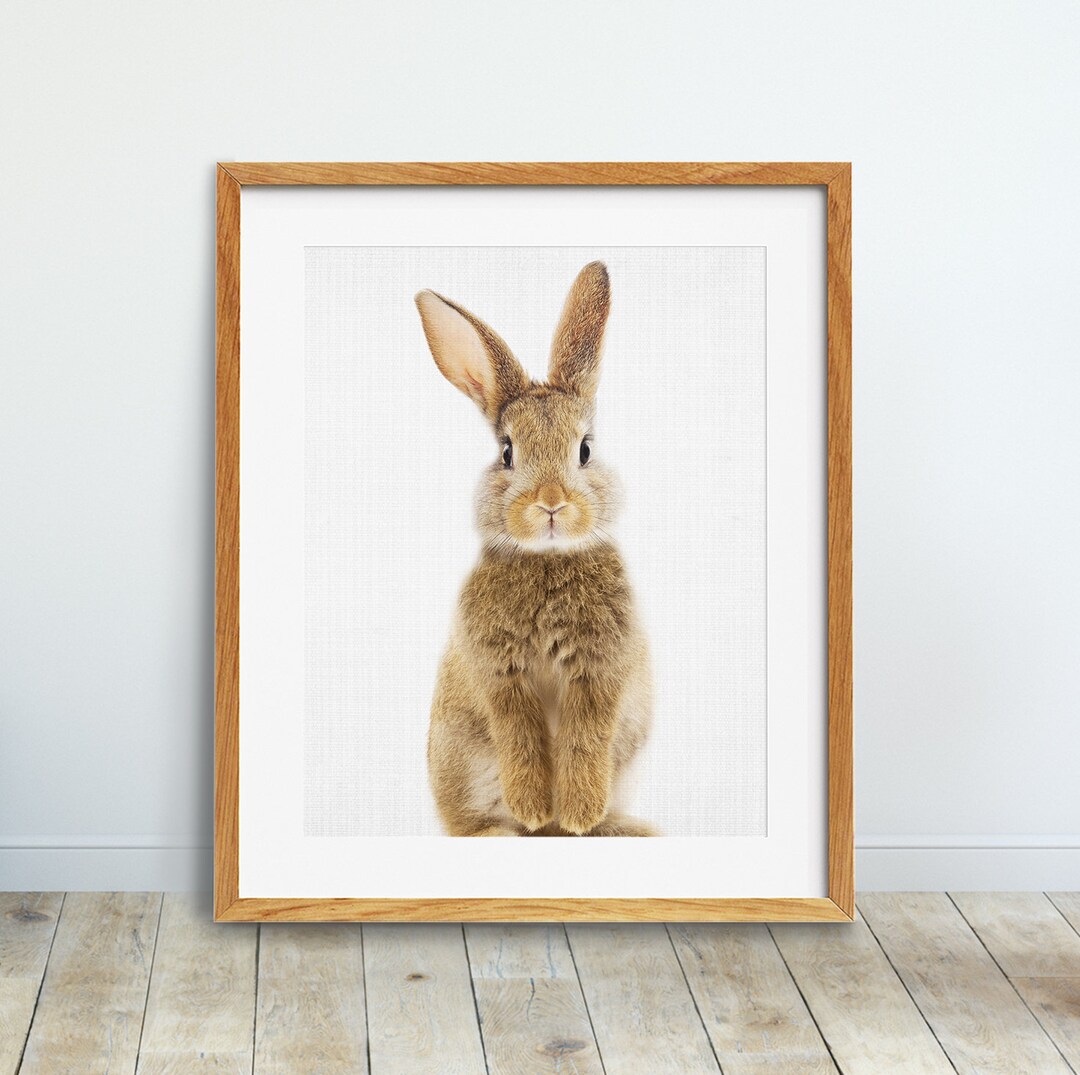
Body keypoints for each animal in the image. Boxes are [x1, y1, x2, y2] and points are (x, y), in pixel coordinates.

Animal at [416, 261, 655, 837]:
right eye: (507, 453)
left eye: (585, 450)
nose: (550, 502)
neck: (547, 560)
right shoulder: (500, 673)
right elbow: (520, 735)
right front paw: (533, 805)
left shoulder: (600, 670)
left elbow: (585, 738)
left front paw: (578, 811)